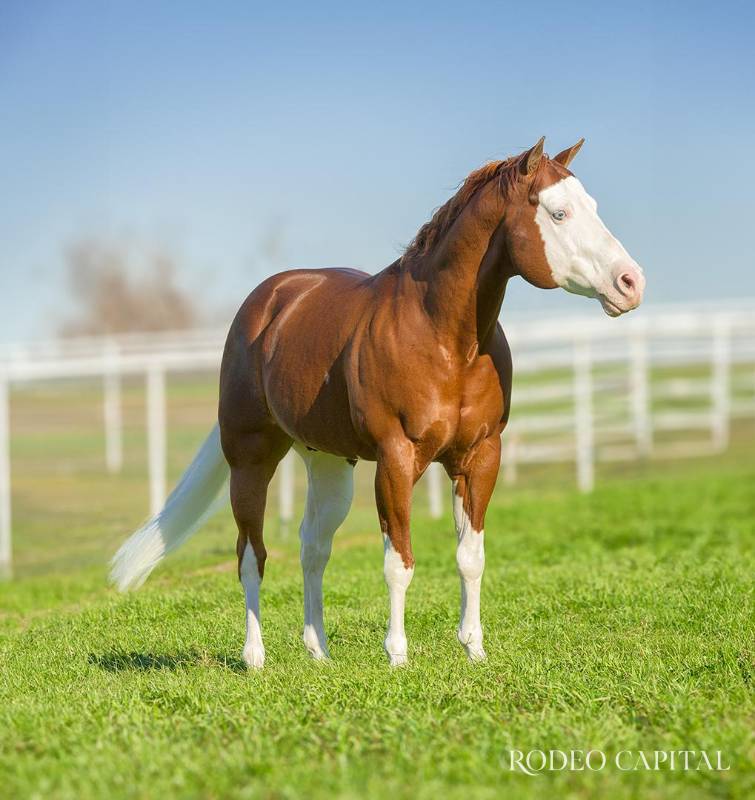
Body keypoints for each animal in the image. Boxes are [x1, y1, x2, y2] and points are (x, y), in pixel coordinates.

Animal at [110, 137, 645, 667]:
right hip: (250, 460)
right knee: (250, 555)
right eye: (558, 213)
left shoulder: (480, 457)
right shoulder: (395, 459)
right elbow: (398, 562)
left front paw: (474, 649)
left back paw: (319, 652)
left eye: (591, 207)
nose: (631, 282)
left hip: (327, 465)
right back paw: (255, 656)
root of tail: (268, 302)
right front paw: (398, 656)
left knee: (312, 548)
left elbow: (470, 558)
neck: (445, 339)